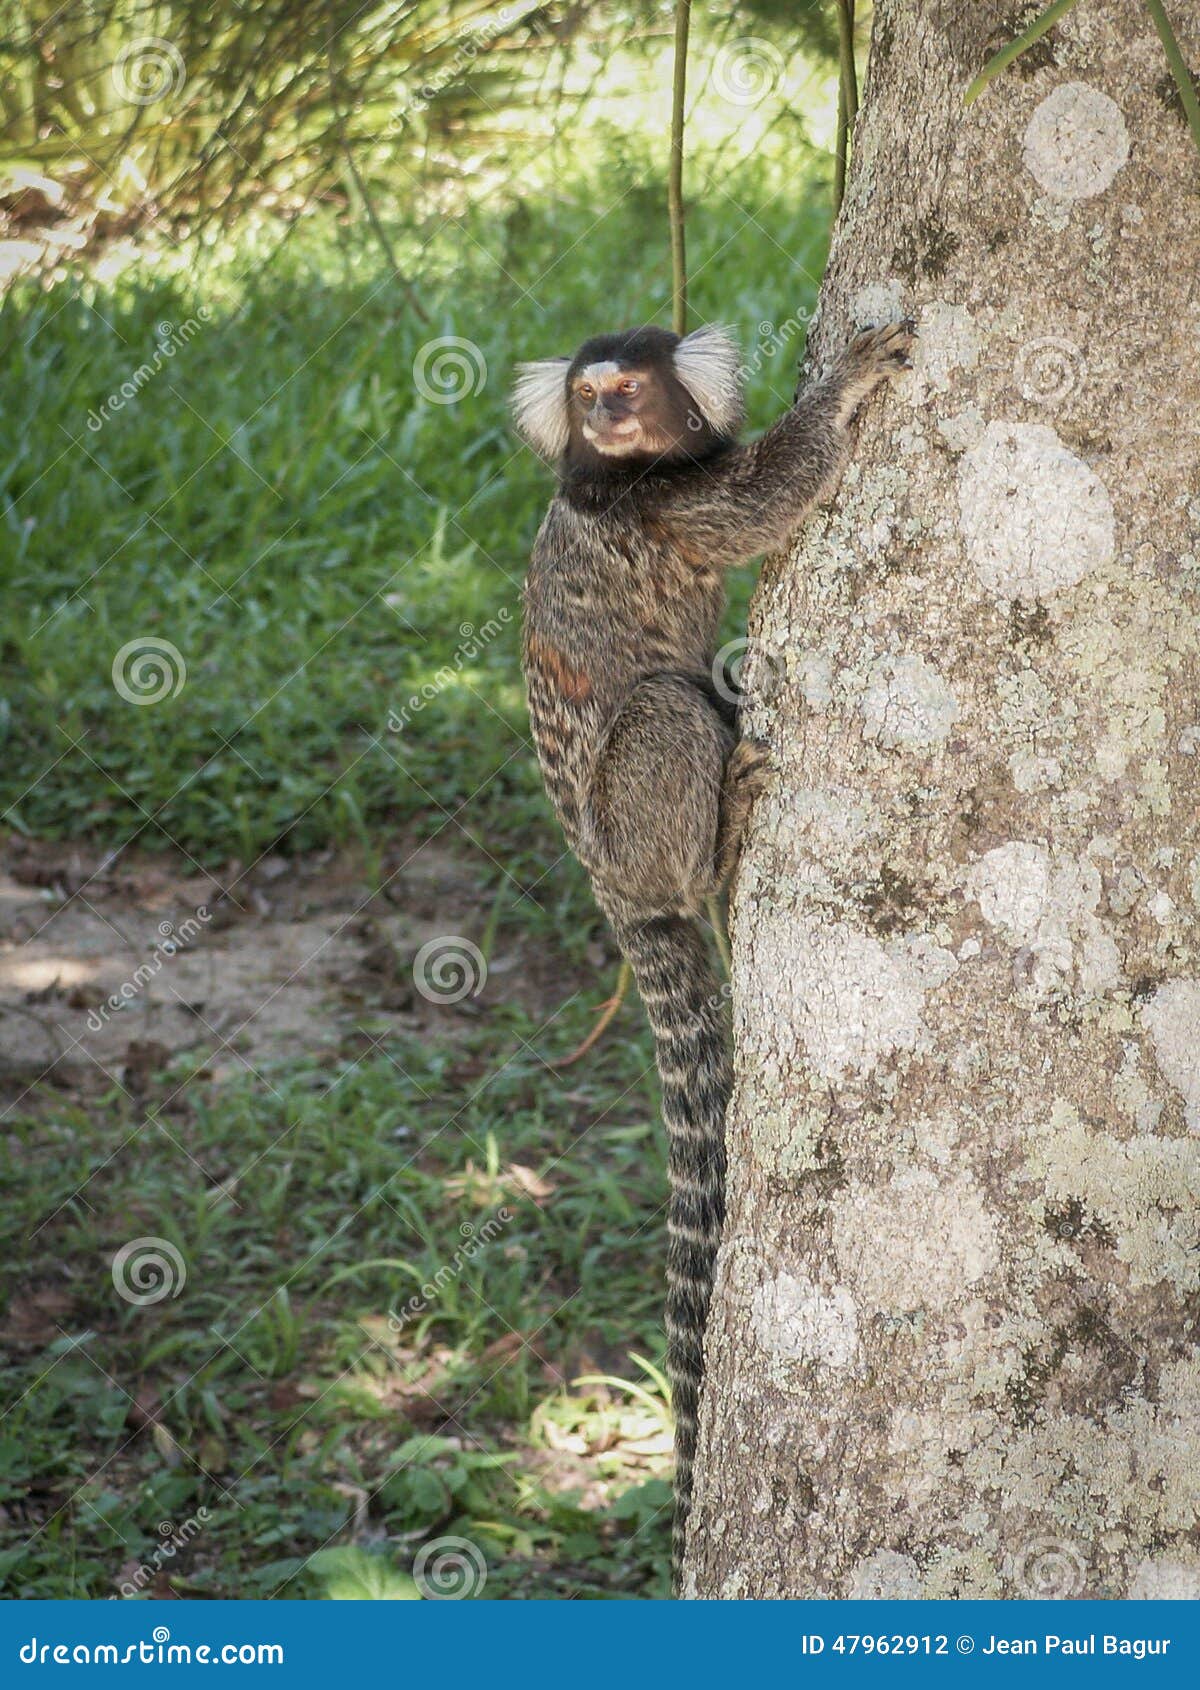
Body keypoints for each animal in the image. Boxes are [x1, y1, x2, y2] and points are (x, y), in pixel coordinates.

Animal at [512, 315, 914, 1590]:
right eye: (591, 397)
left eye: (624, 389)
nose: (605, 417)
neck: (617, 474)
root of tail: (614, 892)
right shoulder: (666, 509)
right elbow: (770, 497)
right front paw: (845, 389)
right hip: (636, 818)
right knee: (667, 707)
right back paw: (726, 820)